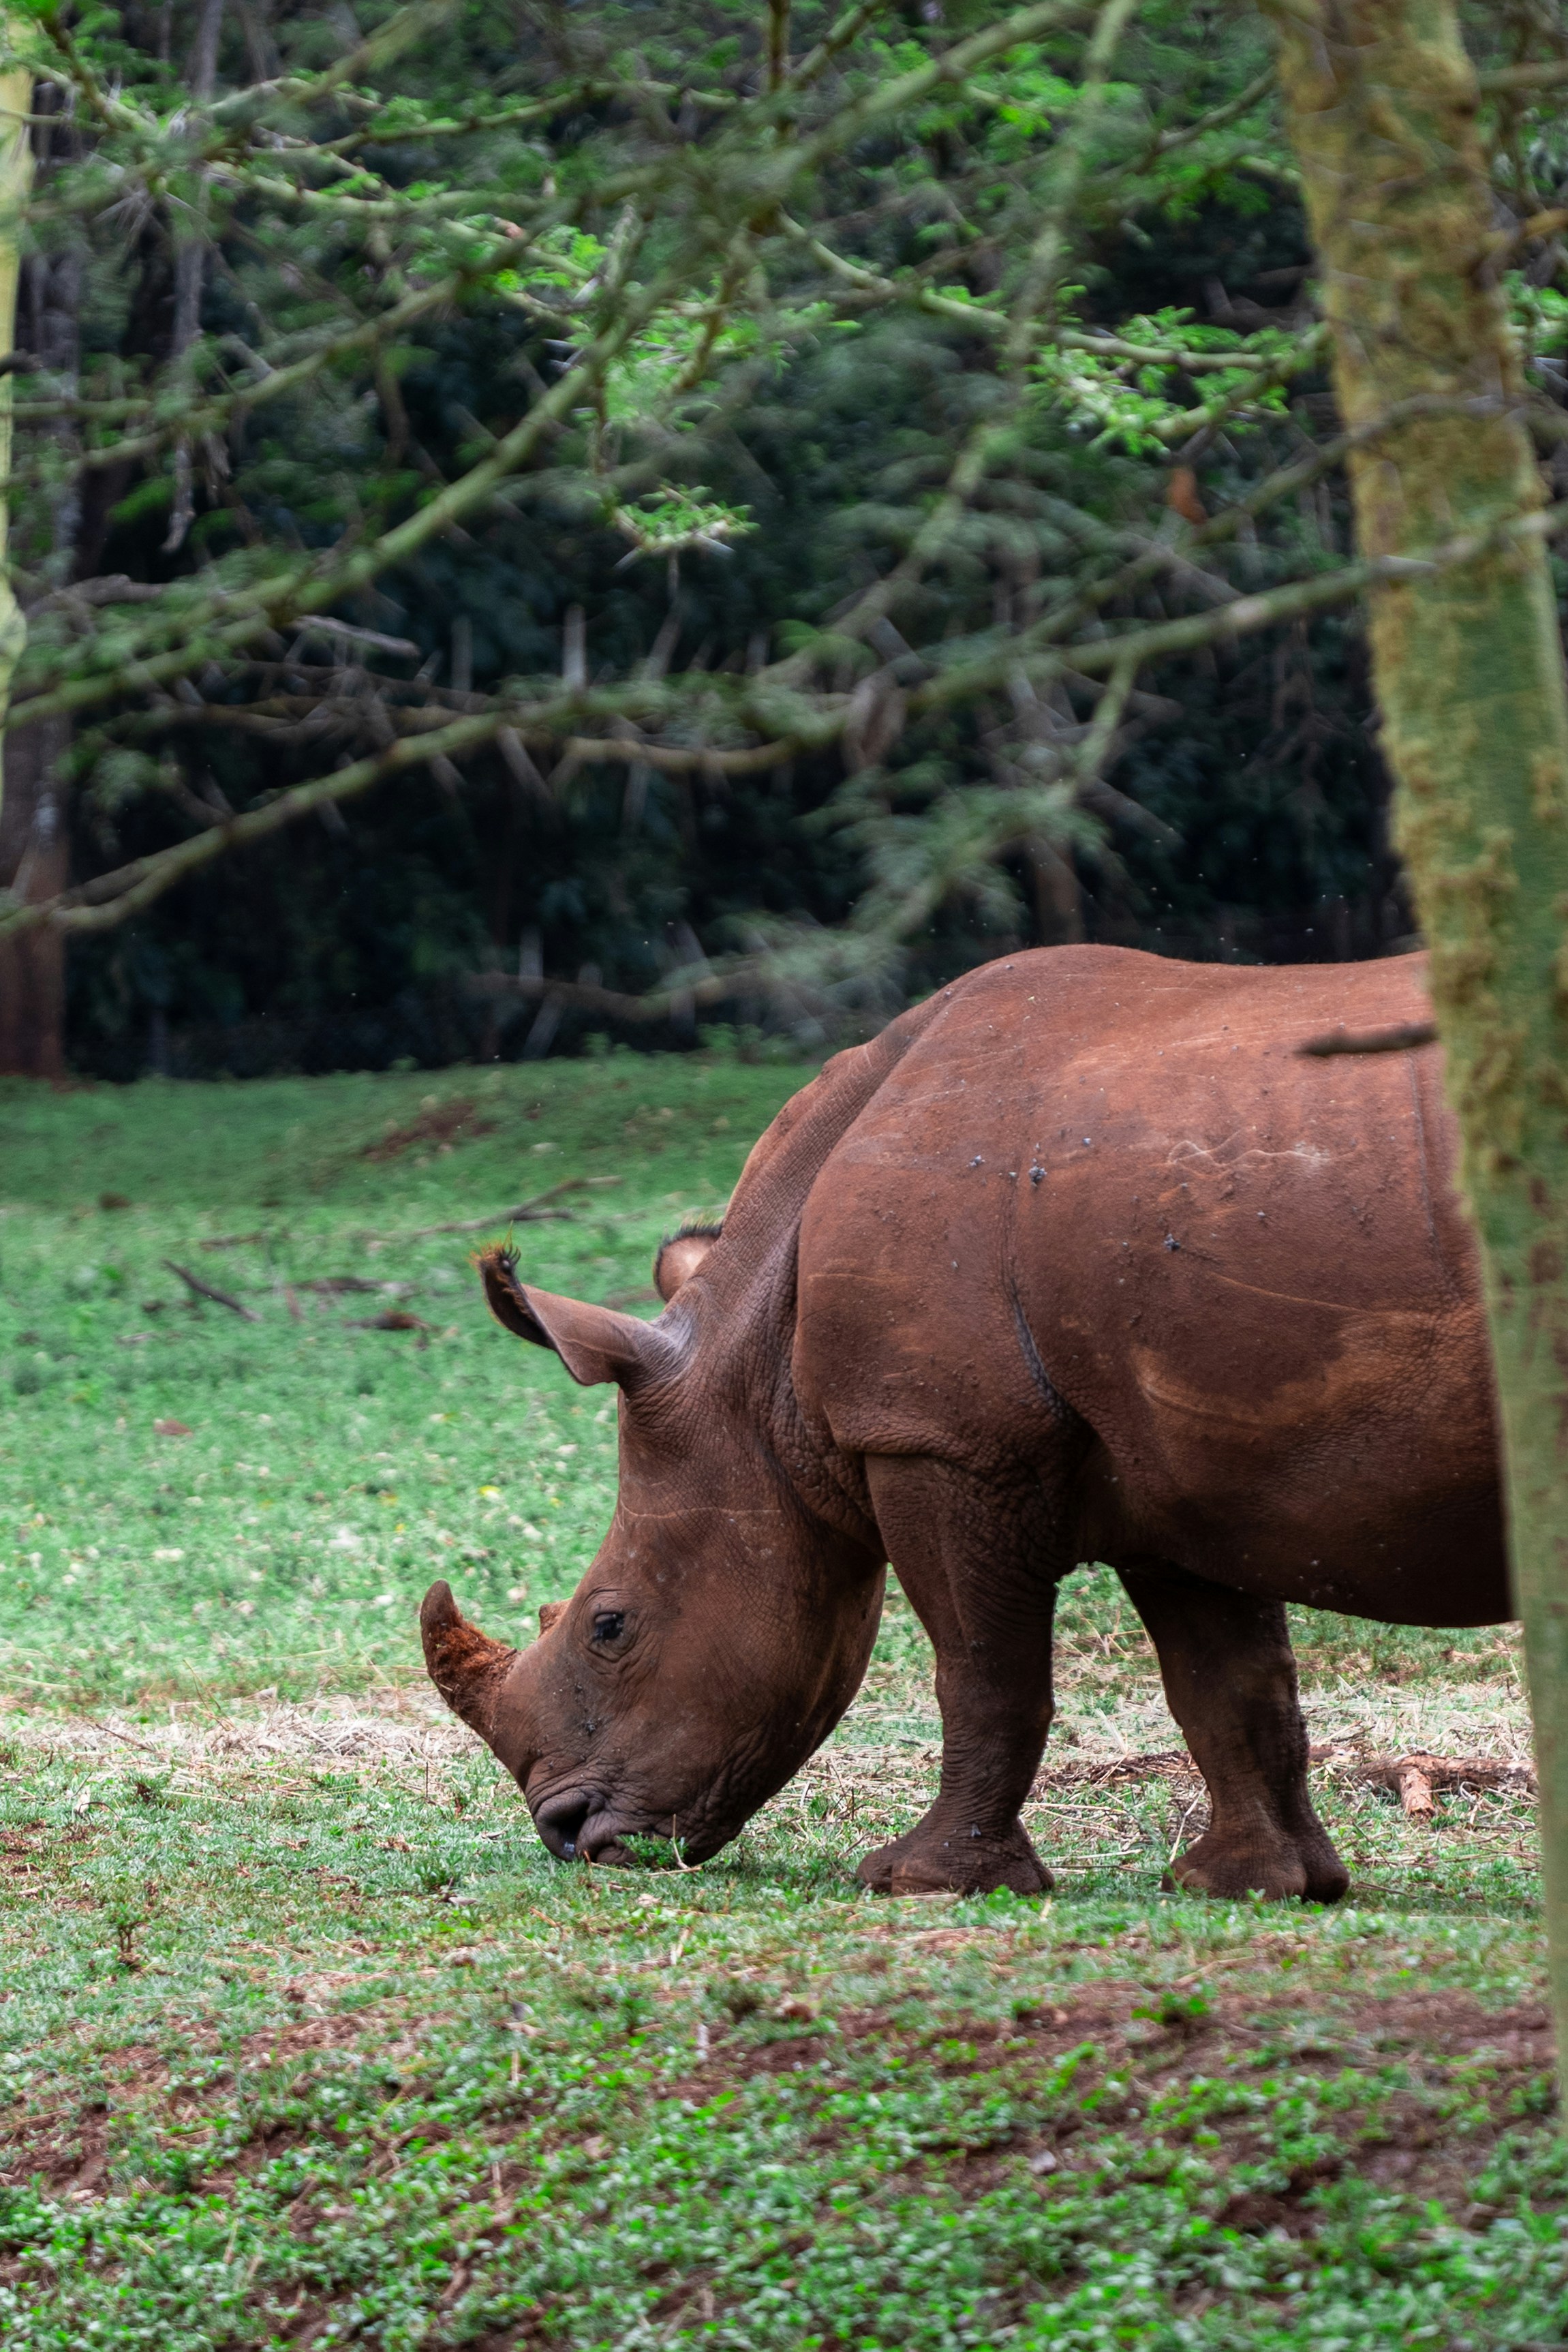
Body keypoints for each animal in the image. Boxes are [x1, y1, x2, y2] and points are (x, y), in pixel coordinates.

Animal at [421, 944, 1502, 1899]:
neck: (757, 1370)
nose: (567, 1834)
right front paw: (1255, 1886)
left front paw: (920, 1880)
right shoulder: (1174, 1466)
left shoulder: (940, 1442)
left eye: (610, 1626)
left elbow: (982, 1670)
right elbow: (1228, 1681)